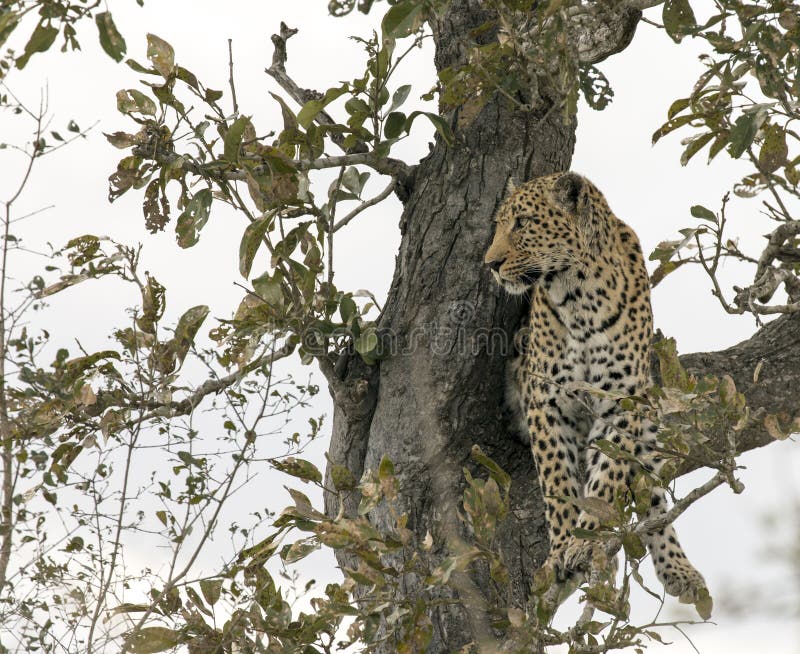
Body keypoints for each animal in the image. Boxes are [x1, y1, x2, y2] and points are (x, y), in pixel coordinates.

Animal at [484, 171, 708, 605]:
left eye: (522, 223)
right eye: (500, 225)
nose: (491, 264)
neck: (579, 298)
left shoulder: (622, 403)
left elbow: (605, 480)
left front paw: (584, 540)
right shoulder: (545, 403)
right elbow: (558, 482)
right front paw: (561, 549)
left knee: (652, 492)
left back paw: (678, 569)